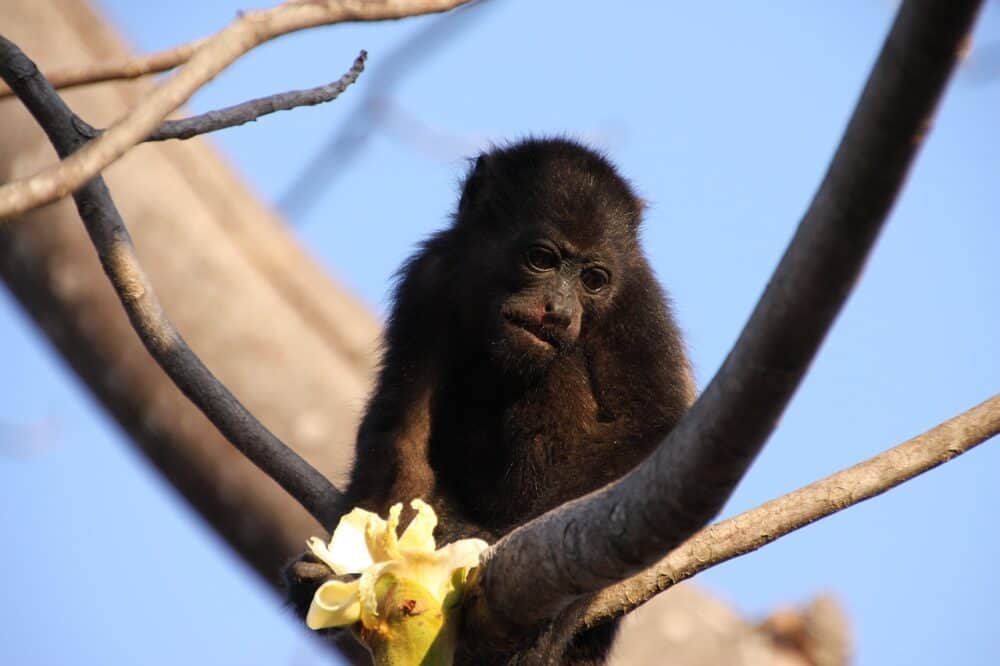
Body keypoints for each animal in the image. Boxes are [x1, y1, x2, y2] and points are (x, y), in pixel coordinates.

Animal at [286, 137, 695, 664]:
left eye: (593, 279)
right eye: (541, 258)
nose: (559, 310)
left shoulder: (637, 304)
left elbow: (649, 428)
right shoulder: (429, 275)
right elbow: (405, 432)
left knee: (557, 371)